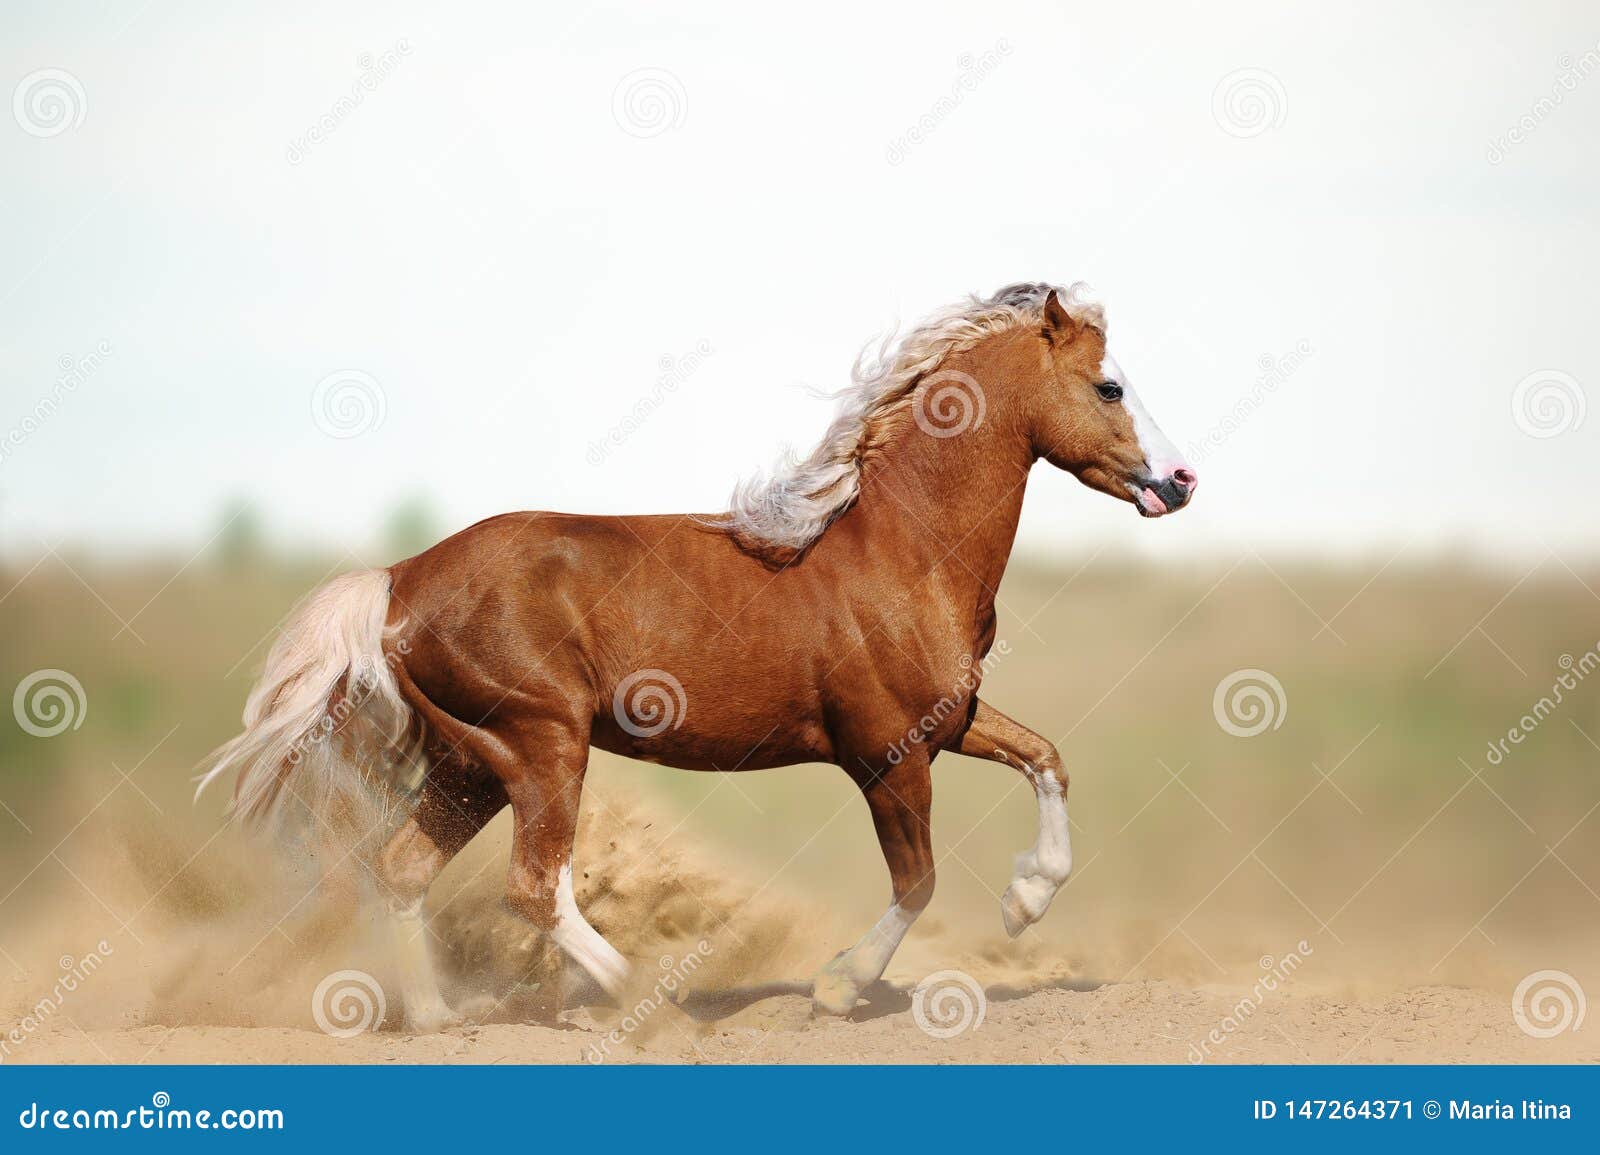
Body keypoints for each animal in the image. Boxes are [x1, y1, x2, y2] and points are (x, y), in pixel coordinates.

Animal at [198, 281, 1197, 1029]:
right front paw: (839, 985)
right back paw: (636, 996)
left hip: (471, 761)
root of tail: (399, 577)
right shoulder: (887, 751)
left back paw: (443, 1016)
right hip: (541, 744)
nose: (1182, 480)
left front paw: (1027, 900)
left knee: (403, 868)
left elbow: (1046, 759)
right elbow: (918, 880)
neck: (901, 548)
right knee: (535, 884)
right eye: (1109, 387)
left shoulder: (948, 721)